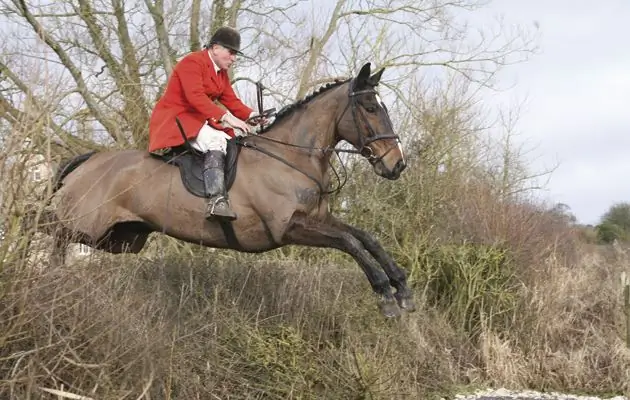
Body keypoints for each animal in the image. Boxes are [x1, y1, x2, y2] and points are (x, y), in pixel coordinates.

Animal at [35, 61, 420, 318]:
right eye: (370, 108)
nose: (396, 164)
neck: (290, 157)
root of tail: (89, 159)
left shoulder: (318, 220)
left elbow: (366, 238)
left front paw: (402, 287)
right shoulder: (289, 228)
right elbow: (351, 242)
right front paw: (385, 295)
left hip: (122, 238)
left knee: (57, 235)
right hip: (88, 224)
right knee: (44, 225)